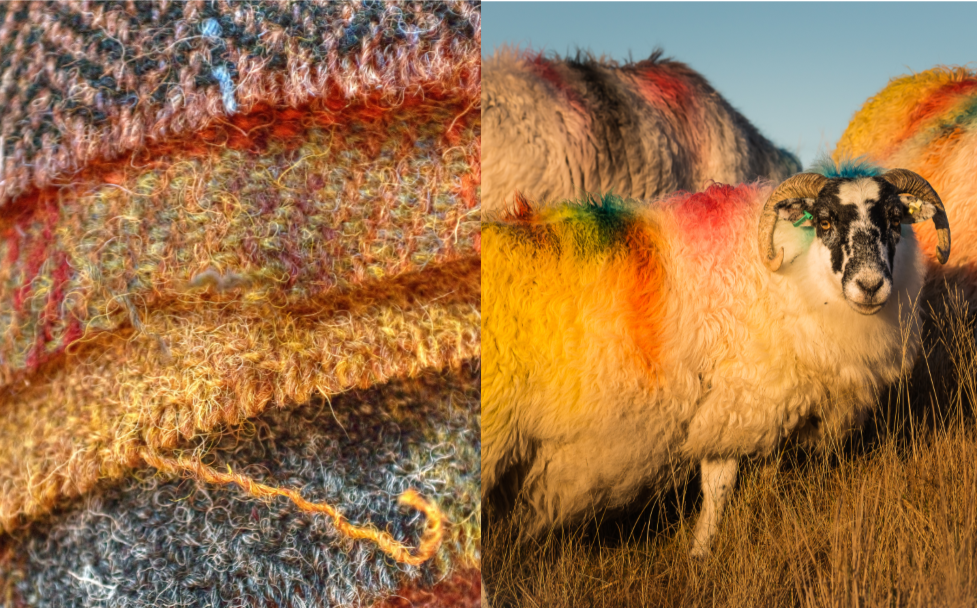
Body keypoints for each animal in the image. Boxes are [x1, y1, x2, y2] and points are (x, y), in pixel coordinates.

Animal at [482, 166, 951, 556]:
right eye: (824, 221)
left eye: (895, 219)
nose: (870, 286)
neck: (781, 276)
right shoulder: (733, 404)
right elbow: (719, 488)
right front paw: (701, 553)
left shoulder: (750, 410)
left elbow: (752, 478)